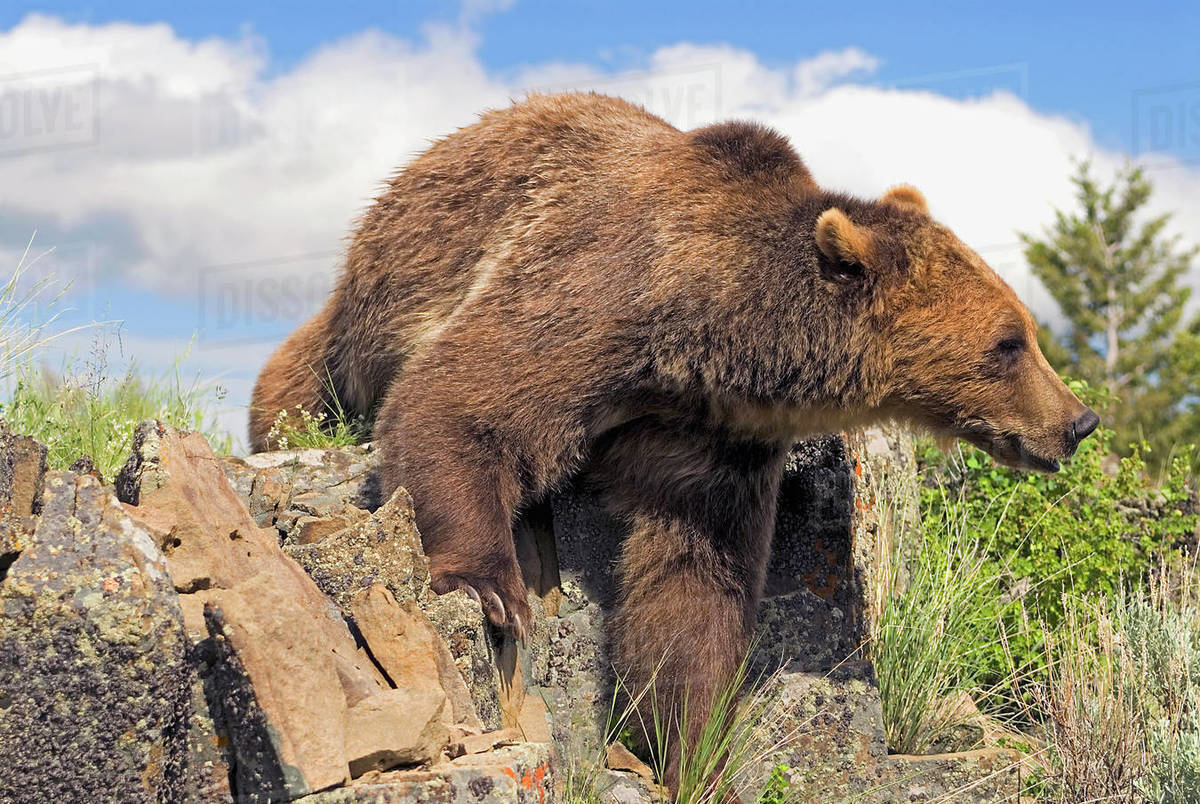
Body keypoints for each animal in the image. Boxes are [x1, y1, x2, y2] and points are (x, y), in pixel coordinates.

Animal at [250, 92, 1098, 785]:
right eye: (1008, 342)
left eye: (1024, 328)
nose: (1077, 423)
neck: (708, 340)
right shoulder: (597, 292)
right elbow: (460, 398)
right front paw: (495, 590)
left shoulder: (711, 437)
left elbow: (691, 583)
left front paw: (694, 748)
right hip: (364, 312)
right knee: (296, 382)